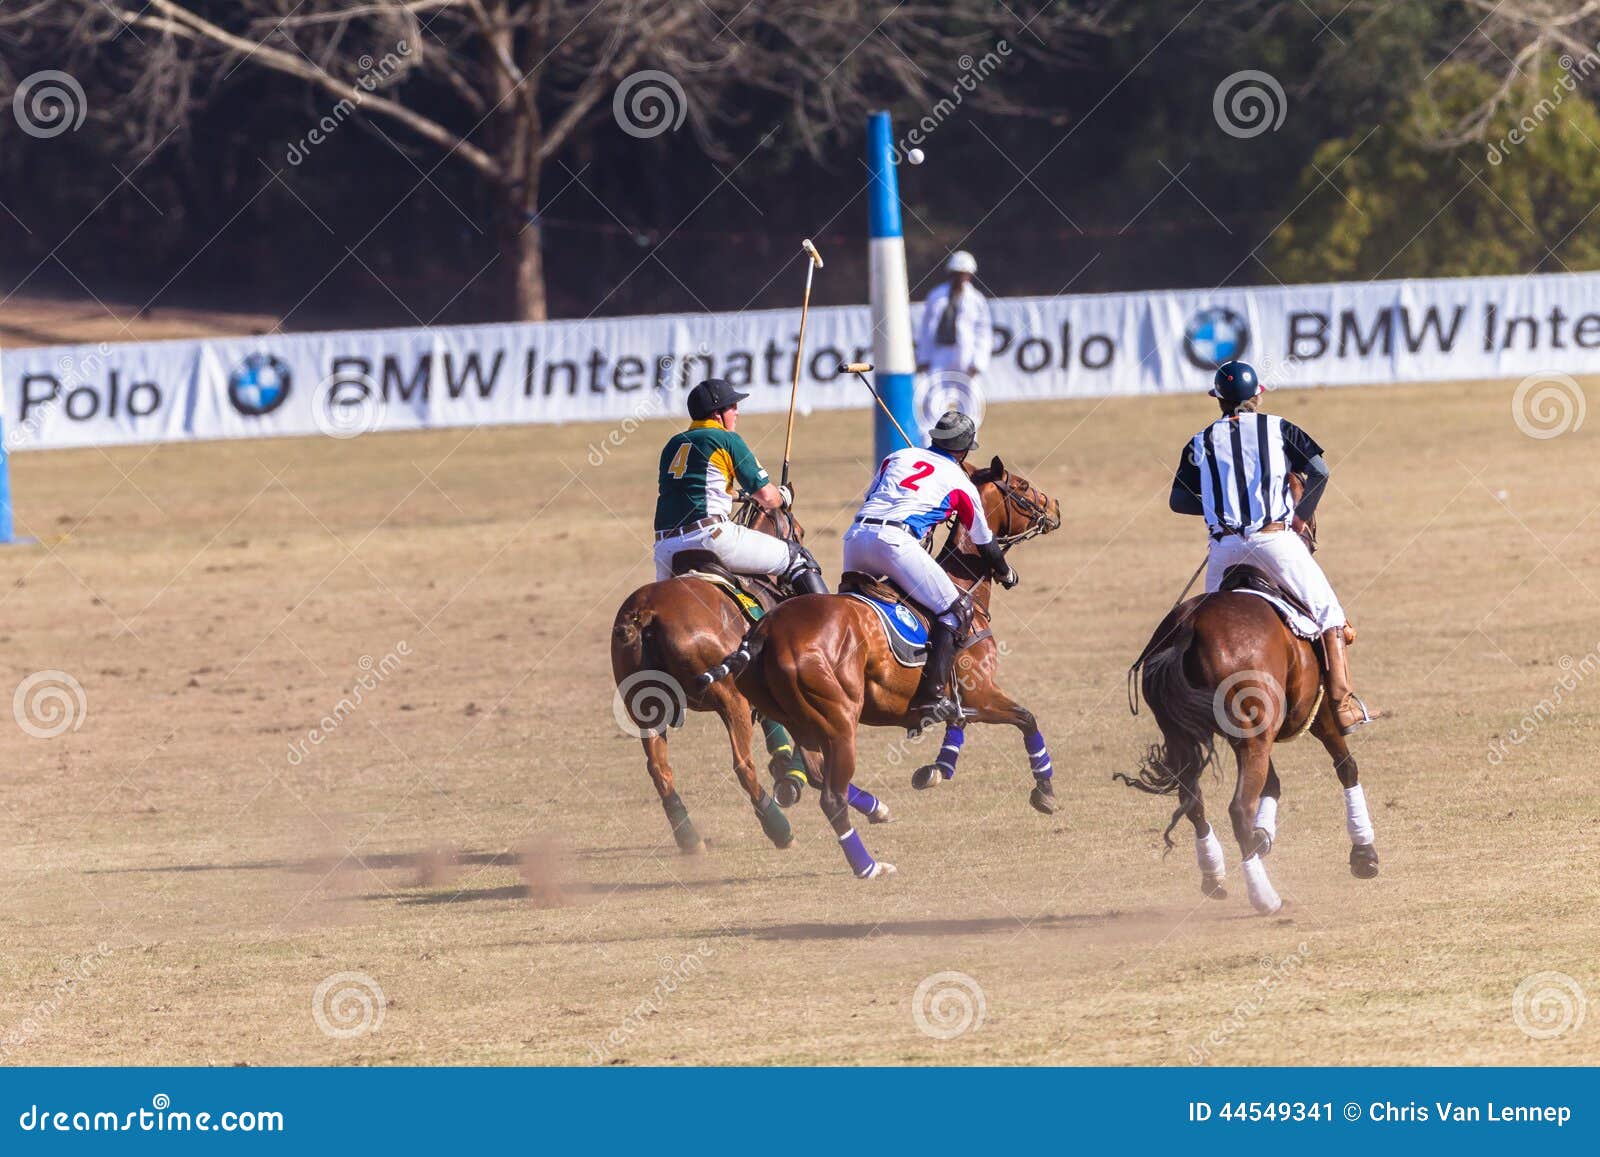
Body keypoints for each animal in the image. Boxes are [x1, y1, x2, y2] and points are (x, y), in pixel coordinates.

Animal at [611, 501, 888, 855]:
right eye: (799, 531)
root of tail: (646, 612)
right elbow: (816, 765)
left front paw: (787, 771)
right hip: (730, 699)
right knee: (743, 765)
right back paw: (778, 828)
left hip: (645, 709)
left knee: (660, 771)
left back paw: (689, 838)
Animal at [697, 457, 1062, 879]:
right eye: (1021, 485)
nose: (1055, 507)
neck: (960, 583)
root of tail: (764, 632)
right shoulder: (981, 690)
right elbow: (1027, 719)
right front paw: (1046, 792)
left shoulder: (964, 694)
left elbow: (957, 722)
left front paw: (936, 769)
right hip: (840, 722)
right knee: (831, 796)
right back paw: (868, 866)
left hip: (800, 721)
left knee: (818, 775)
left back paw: (874, 813)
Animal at [1116, 489, 1378, 915]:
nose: (1312, 530)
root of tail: (1190, 626)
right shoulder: (1318, 711)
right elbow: (1346, 766)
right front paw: (1364, 855)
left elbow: (1273, 785)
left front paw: (1262, 837)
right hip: (1256, 731)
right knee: (1238, 807)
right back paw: (1265, 897)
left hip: (1188, 733)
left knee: (1193, 799)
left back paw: (1214, 876)